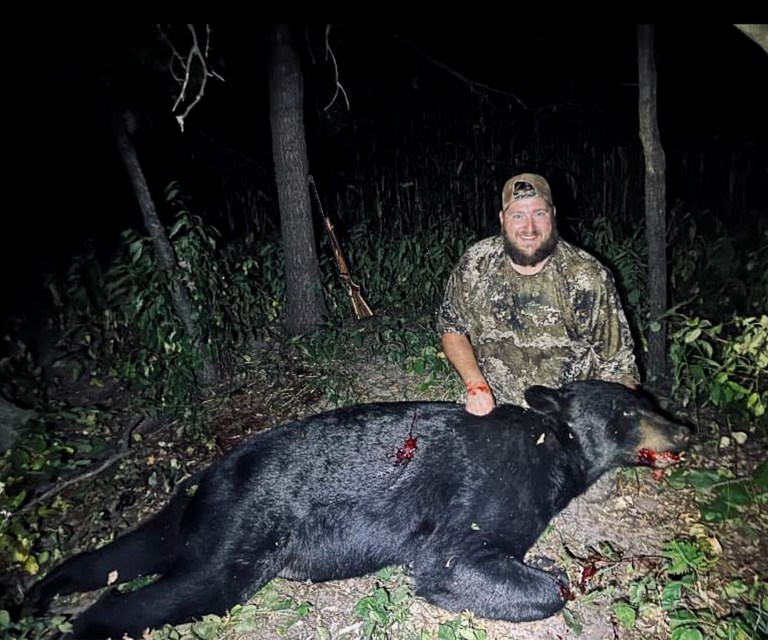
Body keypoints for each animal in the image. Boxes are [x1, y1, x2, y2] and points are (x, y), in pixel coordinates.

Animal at [25, 380, 690, 639]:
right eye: (627, 412)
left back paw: (42, 591)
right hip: (244, 529)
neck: (553, 446)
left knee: (128, 551)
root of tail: (212, 473)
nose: (685, 430)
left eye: (645, 399)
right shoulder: (487, 494)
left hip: (192, 516)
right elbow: (451, 562)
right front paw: (551, 577)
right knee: (179, 587)